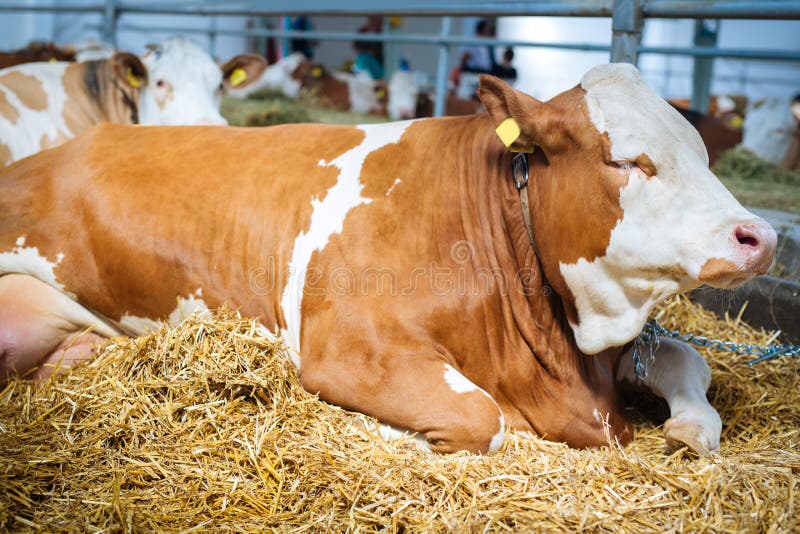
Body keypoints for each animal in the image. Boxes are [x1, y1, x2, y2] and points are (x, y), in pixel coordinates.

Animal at [0, 63, 777, 457]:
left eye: (703, 153)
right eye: (626, 160)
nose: (760, 235)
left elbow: (688, 359)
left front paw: (691, 428)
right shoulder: (351, 347)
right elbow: (481, 418)